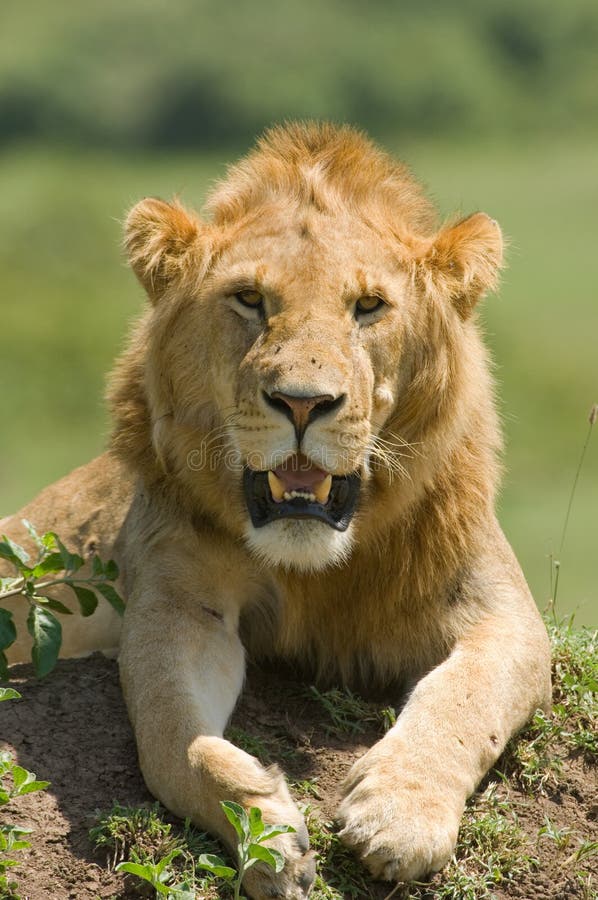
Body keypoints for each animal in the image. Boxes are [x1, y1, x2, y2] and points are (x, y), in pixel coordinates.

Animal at [1, 122, 551, 899]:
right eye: (250, 299)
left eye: (368, 306)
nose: (301, 402)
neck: (315, 569)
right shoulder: (176, 604)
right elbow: (174, 738)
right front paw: (265, 832)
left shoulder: (505, 615)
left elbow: (464, 700)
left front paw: (399, 817)